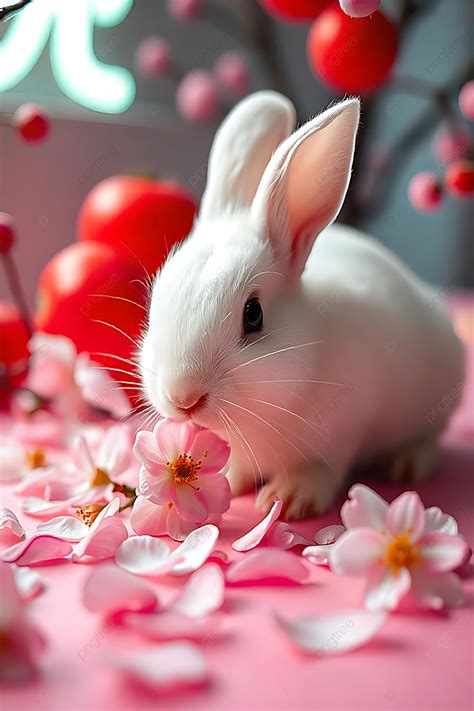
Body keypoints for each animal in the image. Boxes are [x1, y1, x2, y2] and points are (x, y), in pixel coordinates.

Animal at [139, 91, 465, 520]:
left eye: (253, 314)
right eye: (155, 300)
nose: (183, 399)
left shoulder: (343, 433)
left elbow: (321, 468)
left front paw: (290, 497)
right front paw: (226, 479)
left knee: (429, 437)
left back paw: (409, 464)